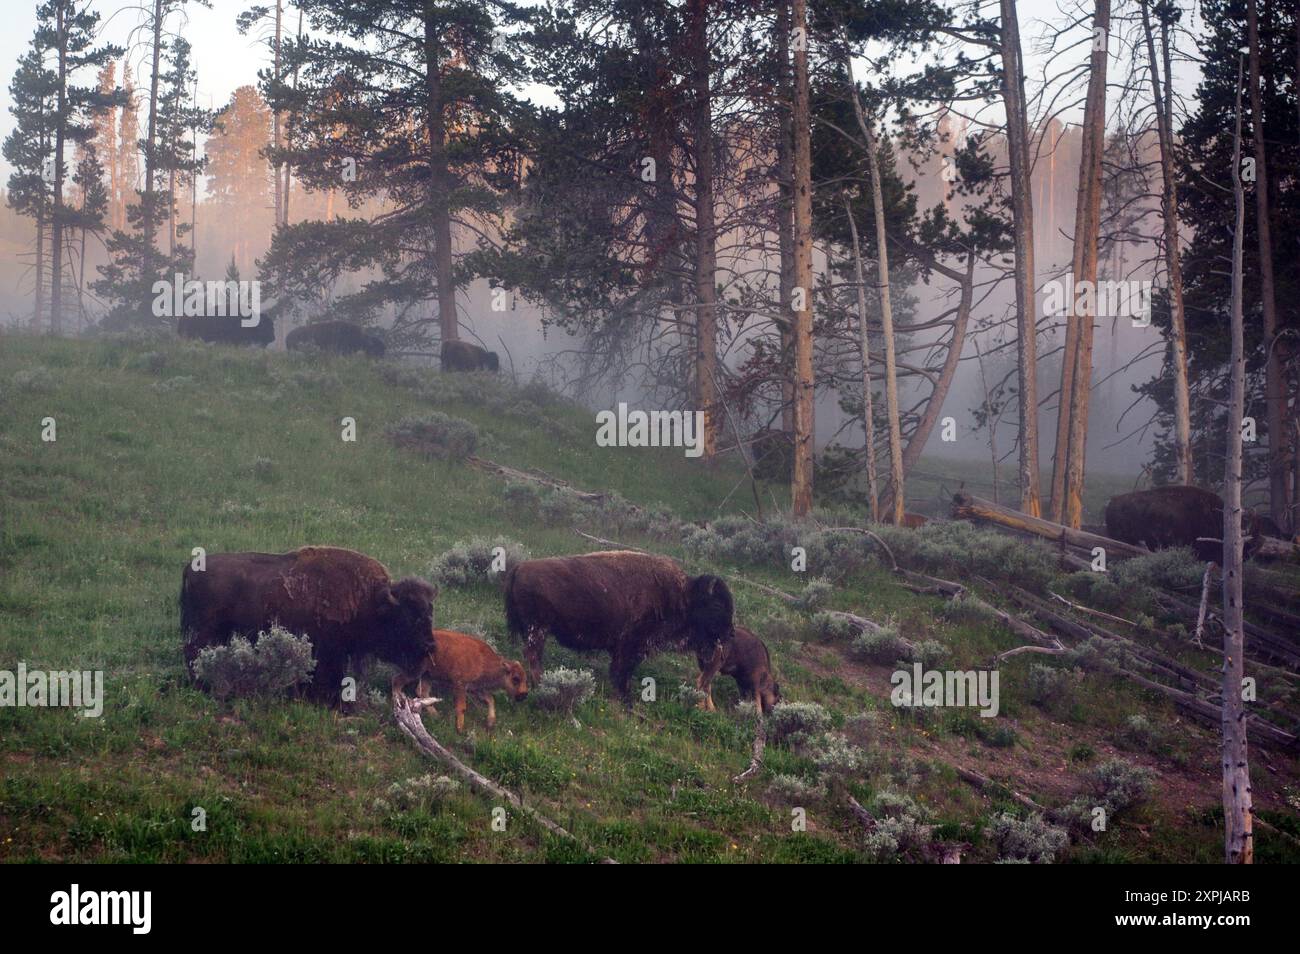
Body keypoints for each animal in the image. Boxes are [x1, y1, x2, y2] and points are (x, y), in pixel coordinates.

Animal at [180, 546, 437, 705]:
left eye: (429, 614)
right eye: (408, 618)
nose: (430, 647)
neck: (371, 601)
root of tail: (191, 568)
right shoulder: (329, 651)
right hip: (204, 631)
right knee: (193, 655)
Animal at [503, 550, 735, 703]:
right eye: (717, 605)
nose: (730, 634)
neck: (682, 597)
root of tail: (519, 567)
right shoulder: (632, 646)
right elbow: (623, 671)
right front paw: (625, 699)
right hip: (537, 629)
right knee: (533, 655)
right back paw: (542, 683)